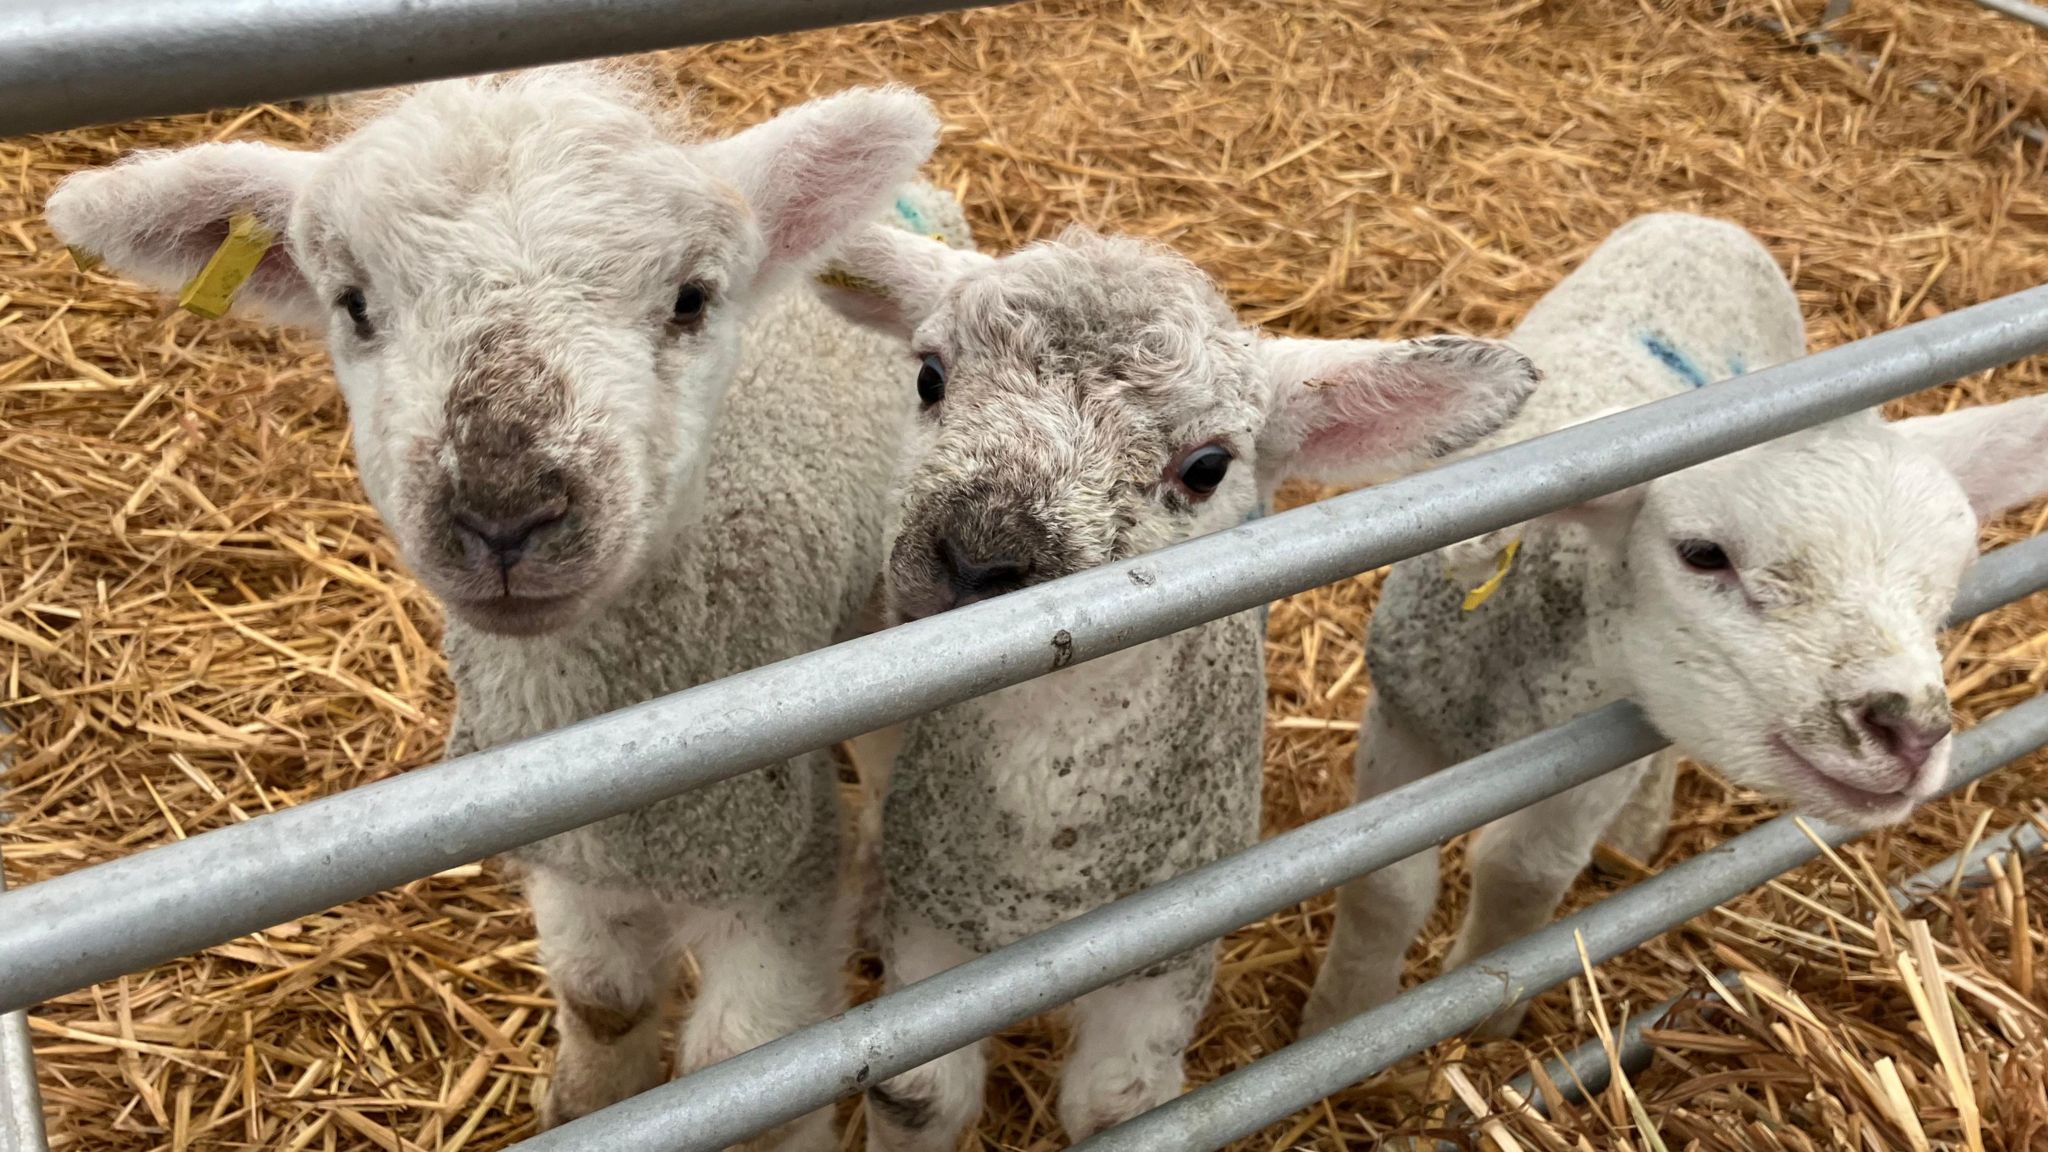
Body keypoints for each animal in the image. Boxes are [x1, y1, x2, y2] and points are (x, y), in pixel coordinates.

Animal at [47, 68, 962, 1143]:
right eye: (352, 304)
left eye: (691, 298)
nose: (504, 510)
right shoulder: (573, 860)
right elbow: (602, 1003)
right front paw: (583, 1102)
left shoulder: (776, 873)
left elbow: (745, 1070)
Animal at [811, 223, 1541, 1149]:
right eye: (929, 377)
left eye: (1206, 467)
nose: (977, 557)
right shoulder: (934, 932)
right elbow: (920, 1097)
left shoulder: (1168, 956)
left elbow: (1117, 1107)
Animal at [1300, 212, 2048, 1040]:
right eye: (1702, 554)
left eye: (1948, 584)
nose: (1913, 732)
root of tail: (1706, 218)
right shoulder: (1403, 719)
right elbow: (1386, 891)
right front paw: (1340, 1019)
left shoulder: (1590, 756)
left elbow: (1523, 876)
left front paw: (1483, 1024)